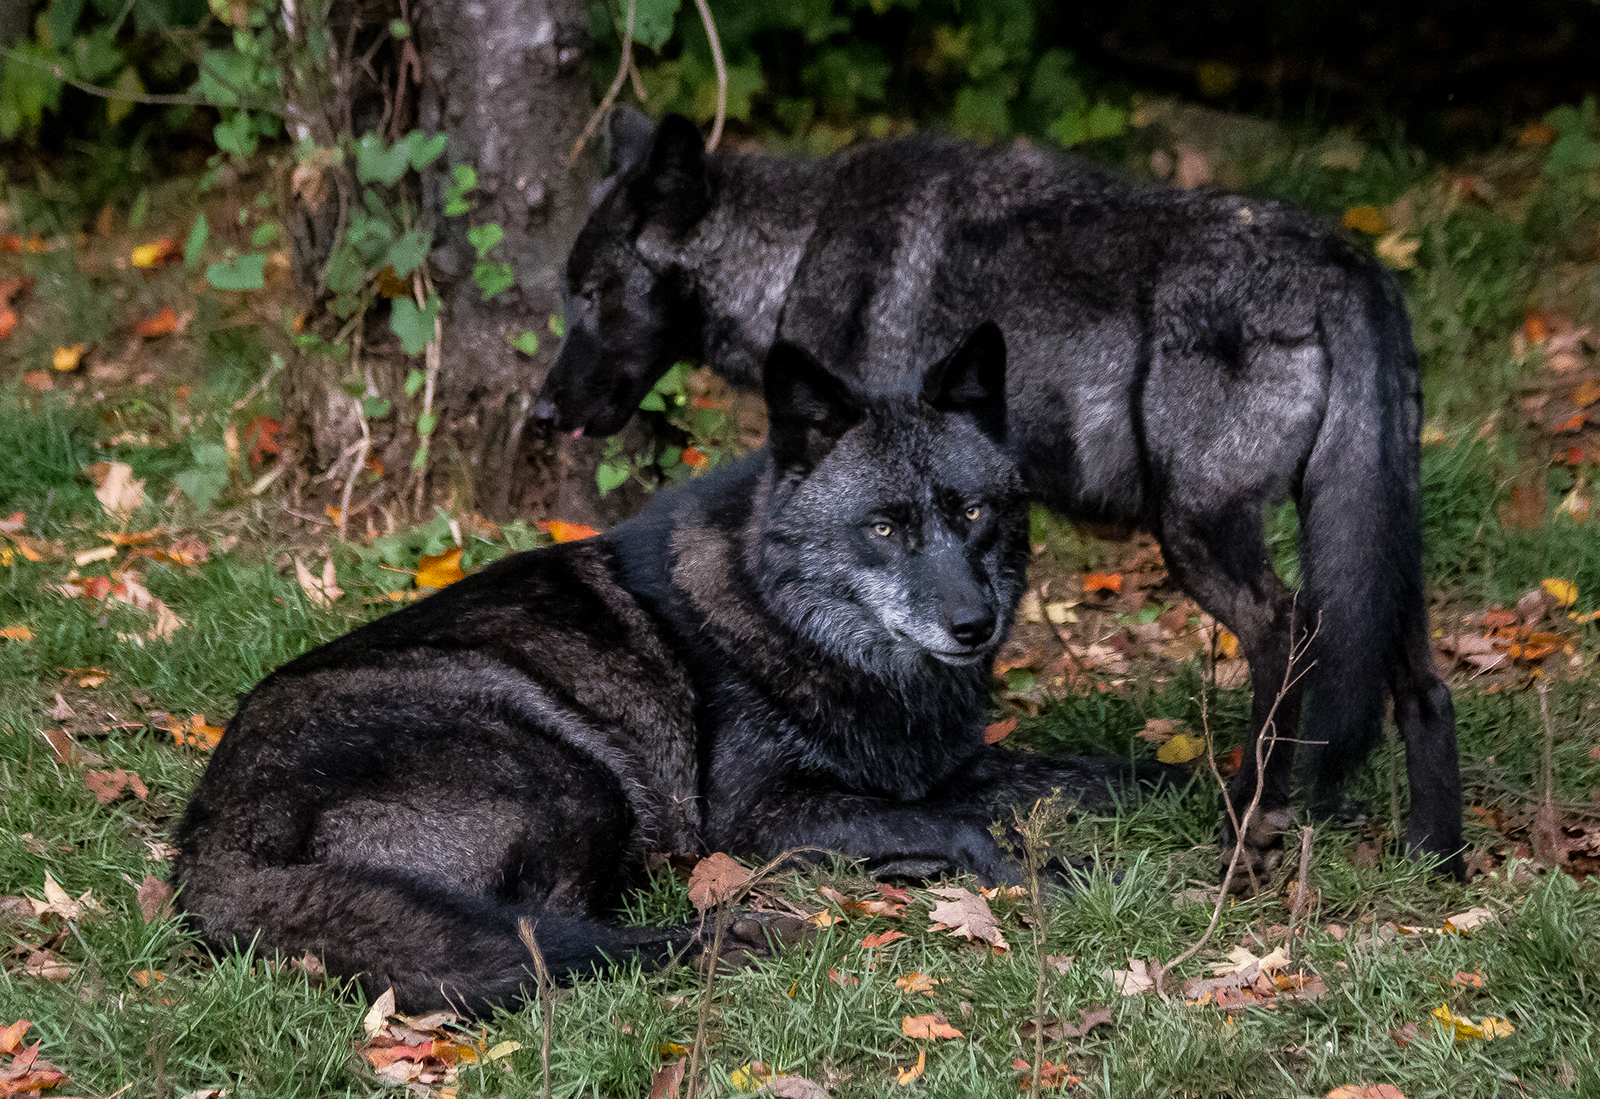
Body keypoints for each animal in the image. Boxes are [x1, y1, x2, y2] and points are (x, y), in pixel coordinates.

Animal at [173, 323, 1148, 1014]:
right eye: (883, 526)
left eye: (973, 511)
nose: (974, 624)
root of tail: (212, 848)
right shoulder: (760, 811)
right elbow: (954, 821)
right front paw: (1036, 867)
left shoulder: (950, 760)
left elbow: (1093, 775)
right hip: (576, 774)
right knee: (546, 938)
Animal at [537, 108, 1463, 885]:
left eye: (593, 296)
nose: (541, 412)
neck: (794, 256)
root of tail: (1351, 269)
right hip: (1372, 541)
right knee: (1423, 684)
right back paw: (1438, 861)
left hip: (1198, 535)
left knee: (1289, 627)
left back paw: (1250, 820)